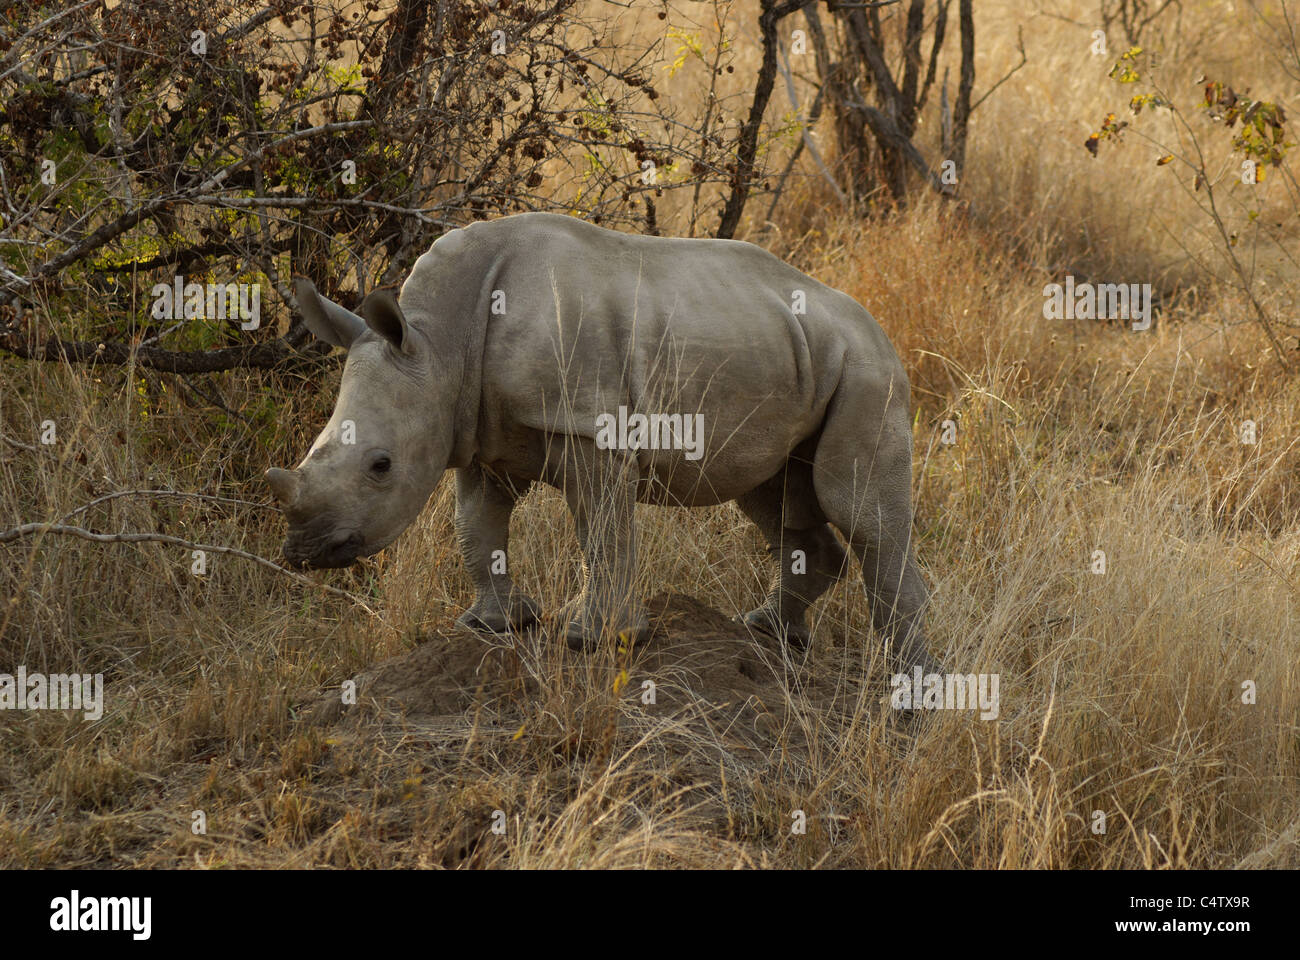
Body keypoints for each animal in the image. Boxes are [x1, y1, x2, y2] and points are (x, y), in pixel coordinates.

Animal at [266, 212, 938, 673]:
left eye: (380, 465)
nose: (303, 552)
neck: (439, 345)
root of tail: (876, 326)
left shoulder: (588, 424)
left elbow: (599, 526)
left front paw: (595, 640)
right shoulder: (478, 429)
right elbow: (477, 527)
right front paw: (496, 625)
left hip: (867, 369)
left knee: (855, 506)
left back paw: (906, 679)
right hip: (792, 350)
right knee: (772, 495)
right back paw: (768, 632)